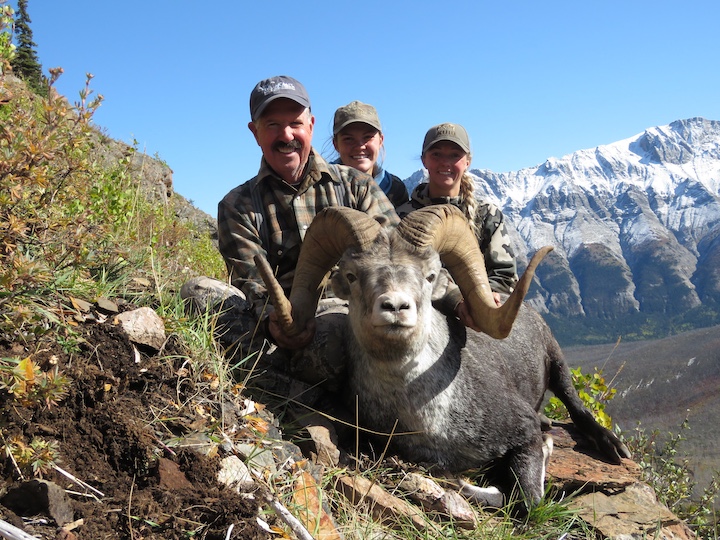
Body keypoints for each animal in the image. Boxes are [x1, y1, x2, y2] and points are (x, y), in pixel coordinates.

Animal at [255, 204, 630, 508]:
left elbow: (526, 500)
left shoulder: (524, 434)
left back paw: (613, 447)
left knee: (574, 403)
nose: (395, 307)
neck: (430, 415)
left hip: (557, 365)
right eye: (352, 275)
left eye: (430, 275)